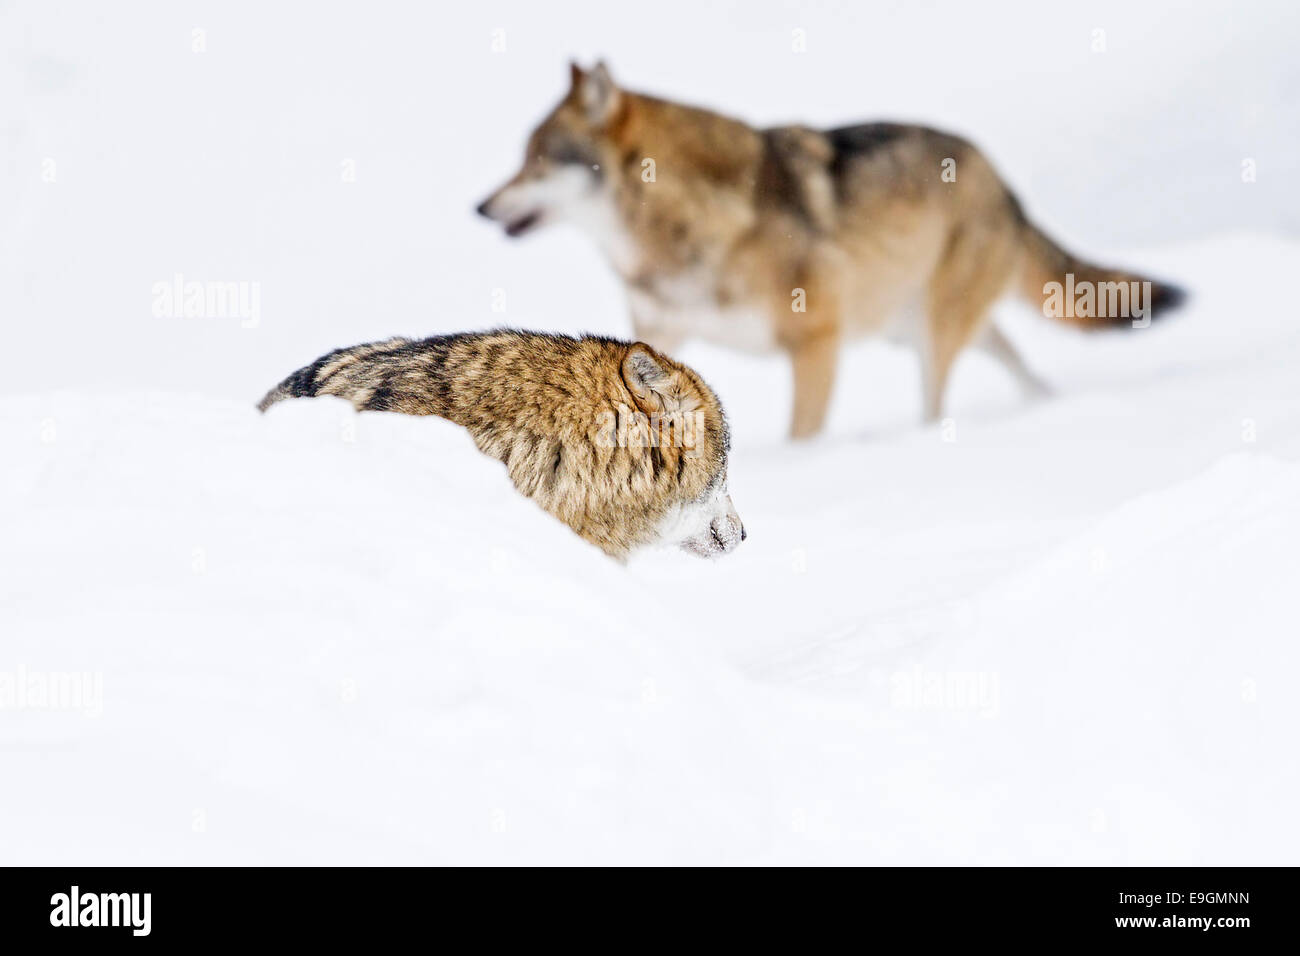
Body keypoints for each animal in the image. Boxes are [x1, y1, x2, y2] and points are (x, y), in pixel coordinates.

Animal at [477, 62, 1185, 438]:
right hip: (925, 328)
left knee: (941, 397)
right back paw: (1047, 404)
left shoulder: (815, 340)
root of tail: (1004, 185)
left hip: (932, 335)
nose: (481, 208)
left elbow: (801, 433)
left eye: (538, 161)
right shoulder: (661, 338)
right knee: (1019, 363)